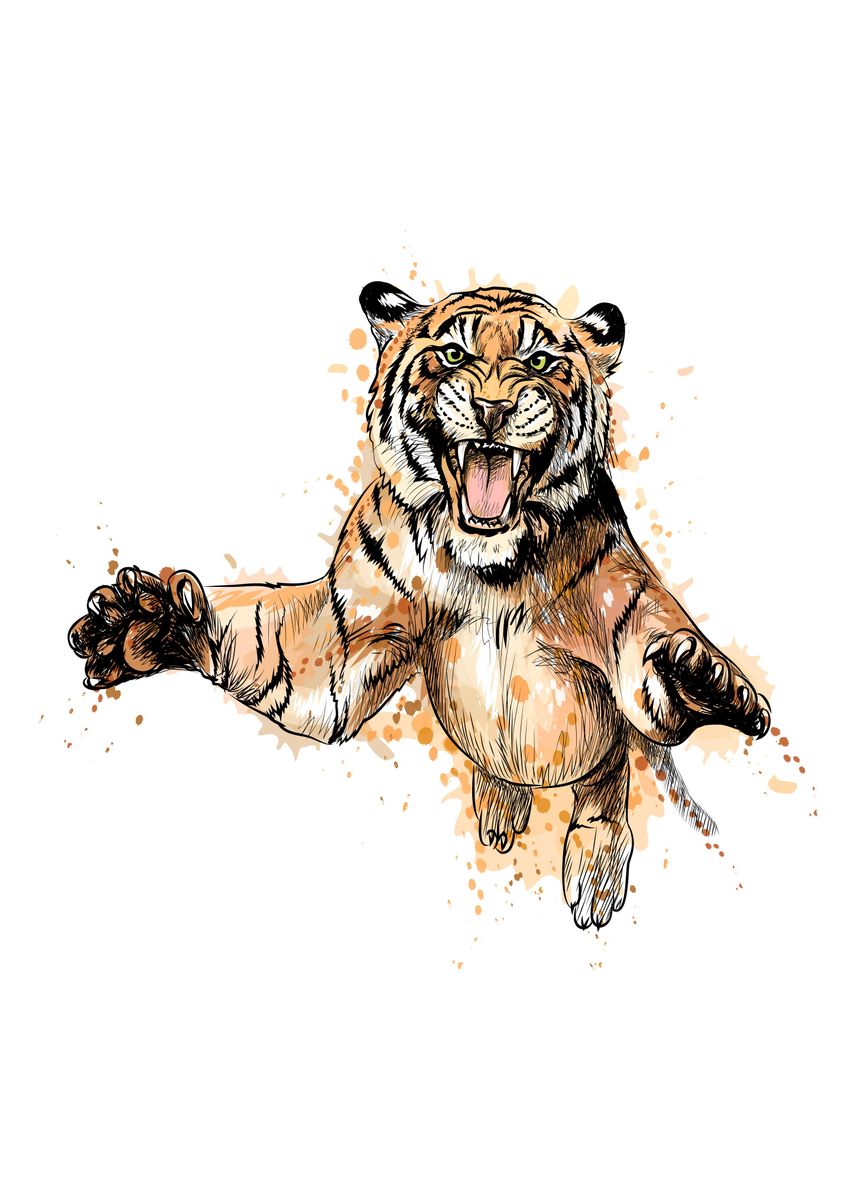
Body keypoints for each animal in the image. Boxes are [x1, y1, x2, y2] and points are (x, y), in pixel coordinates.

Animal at [69, 282, 771, 929]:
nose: (494, 407)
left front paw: (701, 680)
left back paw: (592, 871)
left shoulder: (623, 593)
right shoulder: (339, 647)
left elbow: (651, 644)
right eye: (455, 353)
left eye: (541, 361)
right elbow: (261, 642)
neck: (489, 568)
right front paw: (139, 624)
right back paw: (501, 812)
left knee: (607, 773)